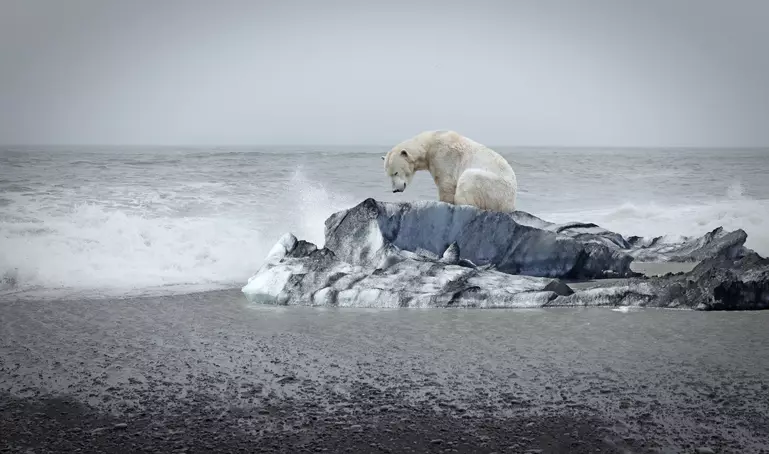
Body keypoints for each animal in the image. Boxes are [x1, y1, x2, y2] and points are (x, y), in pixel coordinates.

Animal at [382, 129, 516, 212]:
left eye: (396, 172)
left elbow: (446, 184)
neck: (430, 143)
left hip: (495, 187)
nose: (395, 190)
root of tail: (511, 204)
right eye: (389, 175)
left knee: (469, 178)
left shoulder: (443, 156)